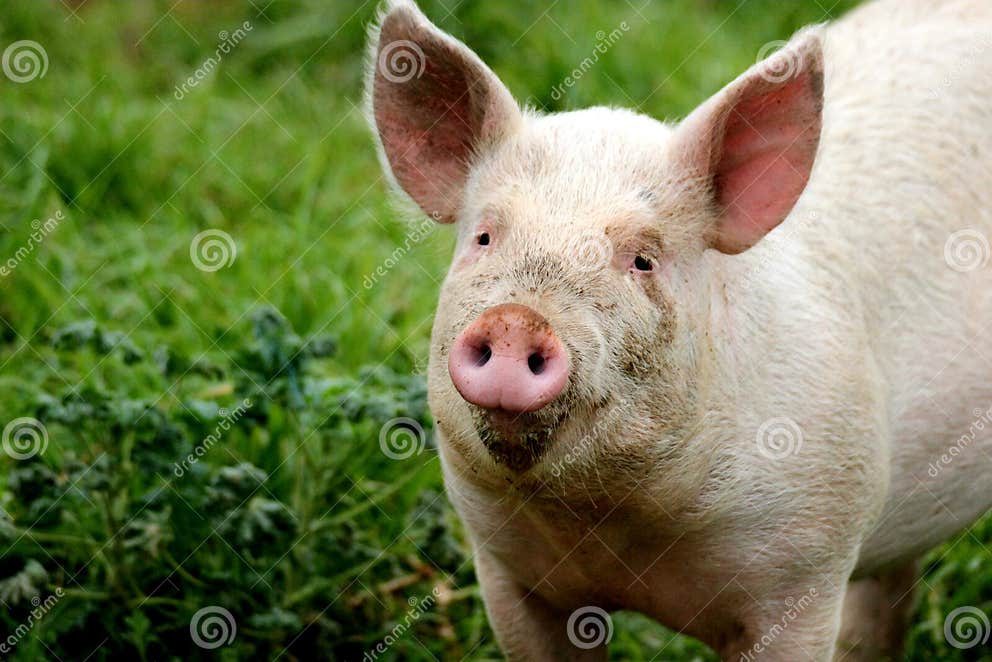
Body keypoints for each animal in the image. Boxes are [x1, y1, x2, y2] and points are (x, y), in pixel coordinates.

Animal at [366, 0, 992, 659]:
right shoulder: (506, 570)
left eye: (643, 260)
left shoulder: (808, 570)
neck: (605, 525)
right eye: (485, 237)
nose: (517, 321)